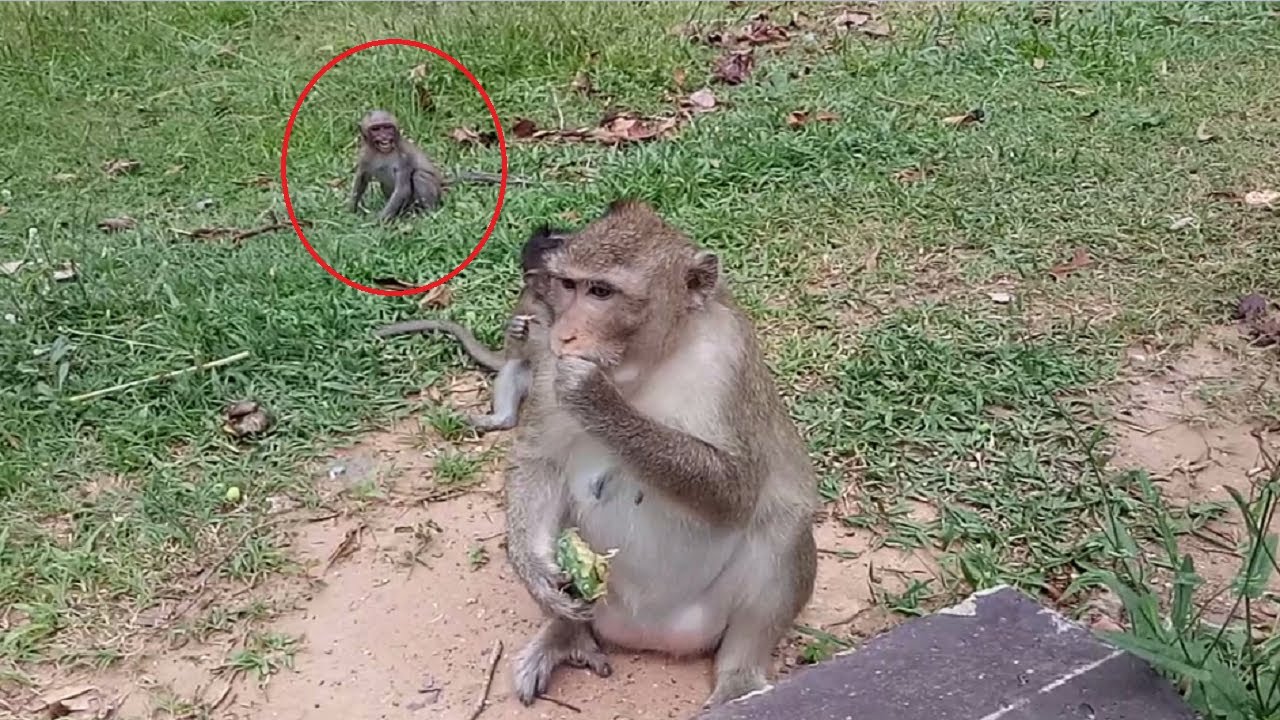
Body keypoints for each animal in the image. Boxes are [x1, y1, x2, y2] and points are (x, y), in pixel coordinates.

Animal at [348, 109, 516, 223]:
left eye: (387, 127)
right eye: (376, 129)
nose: (384, 137)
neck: (382, 152)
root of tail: (441, 180)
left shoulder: (404, 157)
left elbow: (403, 188)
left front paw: (377, 223)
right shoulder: (364, 155)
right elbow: (361, 179)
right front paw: (350, 211)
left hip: (434, 191)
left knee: (419, 176)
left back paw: (426, 214)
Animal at [502, 200, 819, 711]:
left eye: (601, 291)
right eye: (568, 285)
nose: (567, 334)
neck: (643, 364)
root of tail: (649, 634)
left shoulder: (728, 360)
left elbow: (738, 490)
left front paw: (597, 399)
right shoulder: (548, 361)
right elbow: (539, 460)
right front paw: (536, 574)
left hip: (708, 619)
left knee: (784, 525)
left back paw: (738, 677)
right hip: (604, 607)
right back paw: (564, 633)